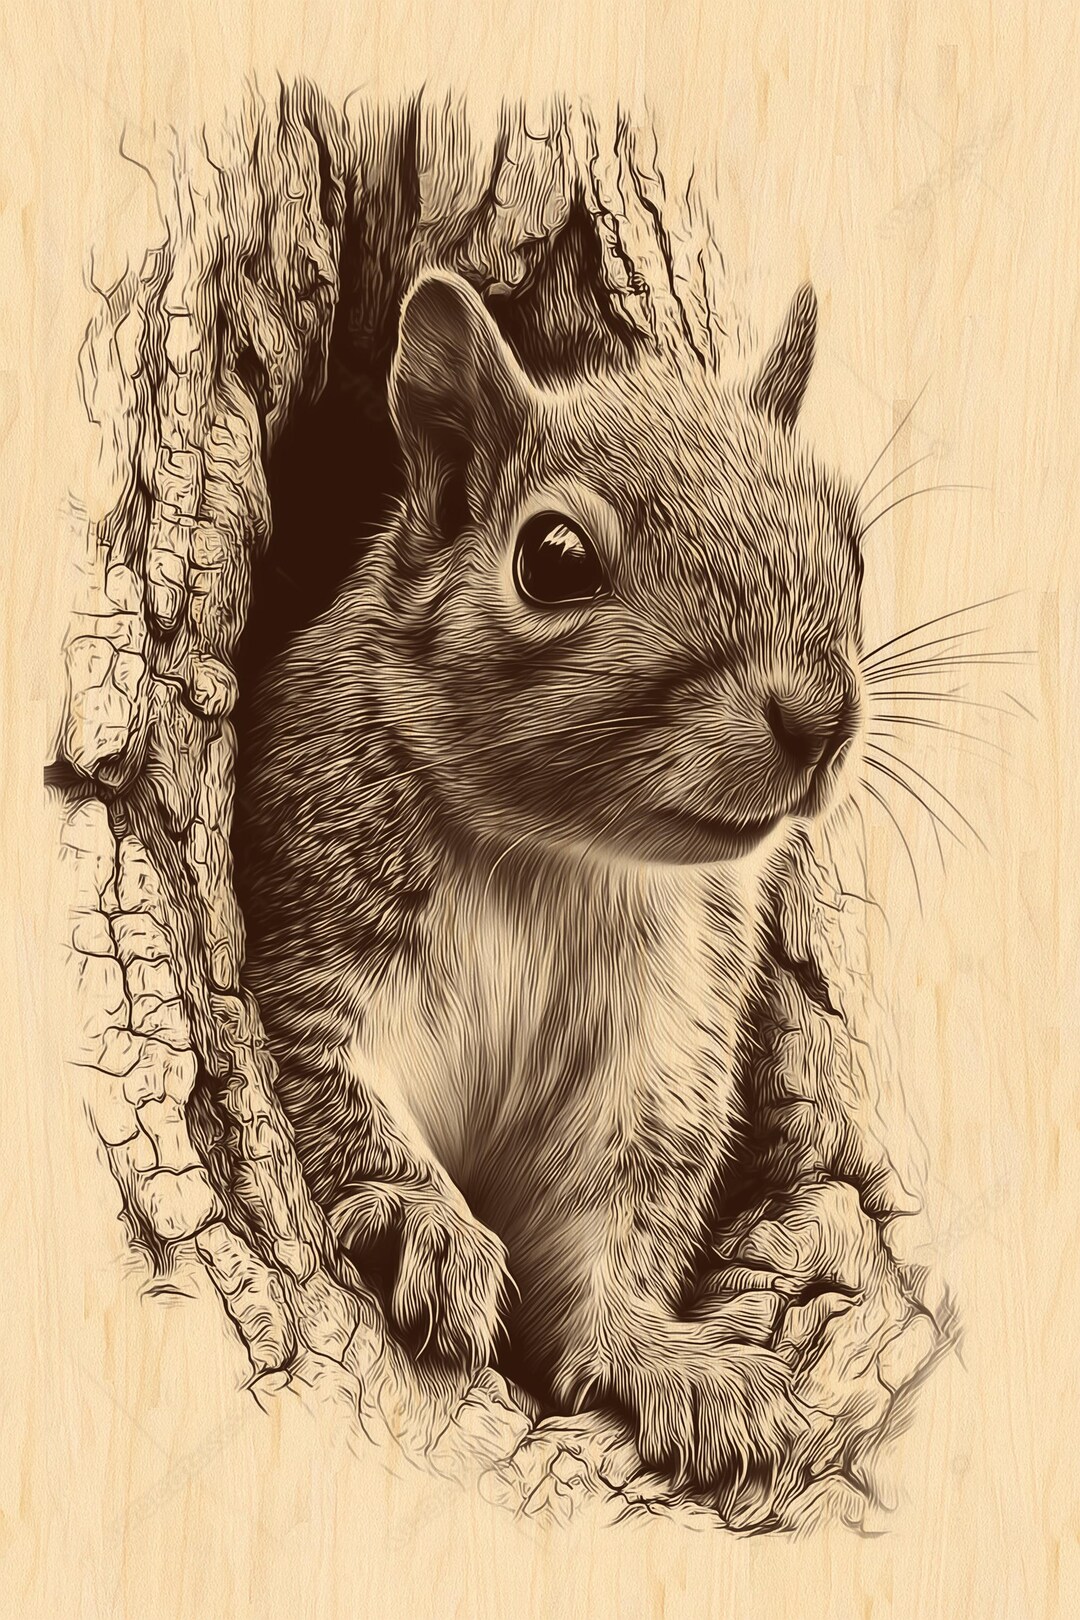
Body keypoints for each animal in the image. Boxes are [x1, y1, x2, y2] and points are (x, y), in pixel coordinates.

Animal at [234, 266, 865, 1498]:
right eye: (555, 558)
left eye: (851, 540)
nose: (820, 720)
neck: (558, 862)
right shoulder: (315, 929)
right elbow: (335, 1089)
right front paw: (423, 1224)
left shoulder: (664, 1045)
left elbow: (609, 1233)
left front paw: (668, 1359)